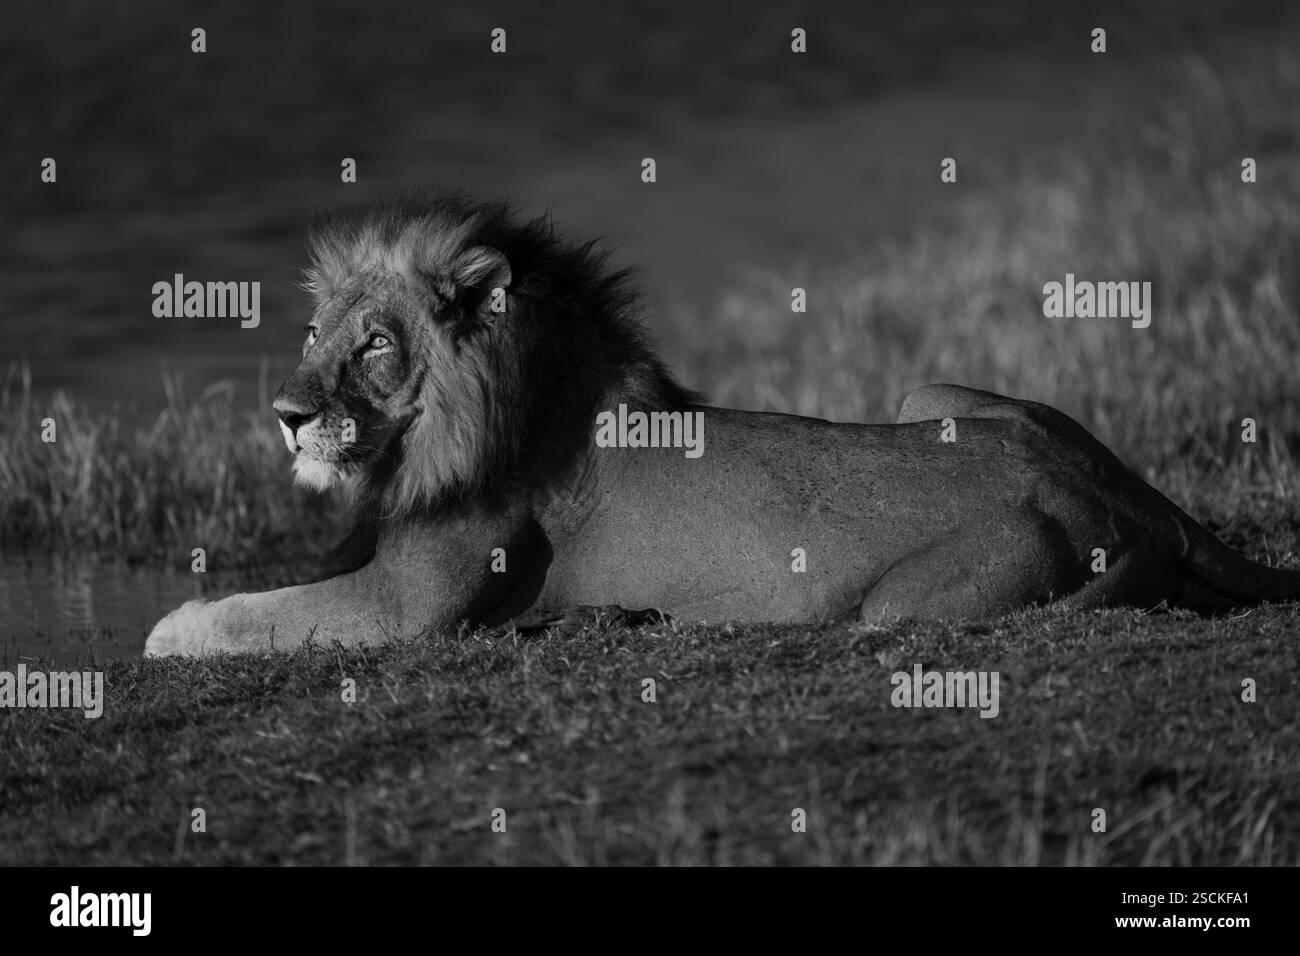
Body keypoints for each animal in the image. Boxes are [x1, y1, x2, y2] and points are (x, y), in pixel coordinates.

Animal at [144, 192, 1300, 656]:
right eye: (312, 330)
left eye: (376, 344)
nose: (286, 416)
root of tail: (1134, 501)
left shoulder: (409, 604)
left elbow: (253, 614)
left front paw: (168, 628)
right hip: (932, 395)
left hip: (903, 606)